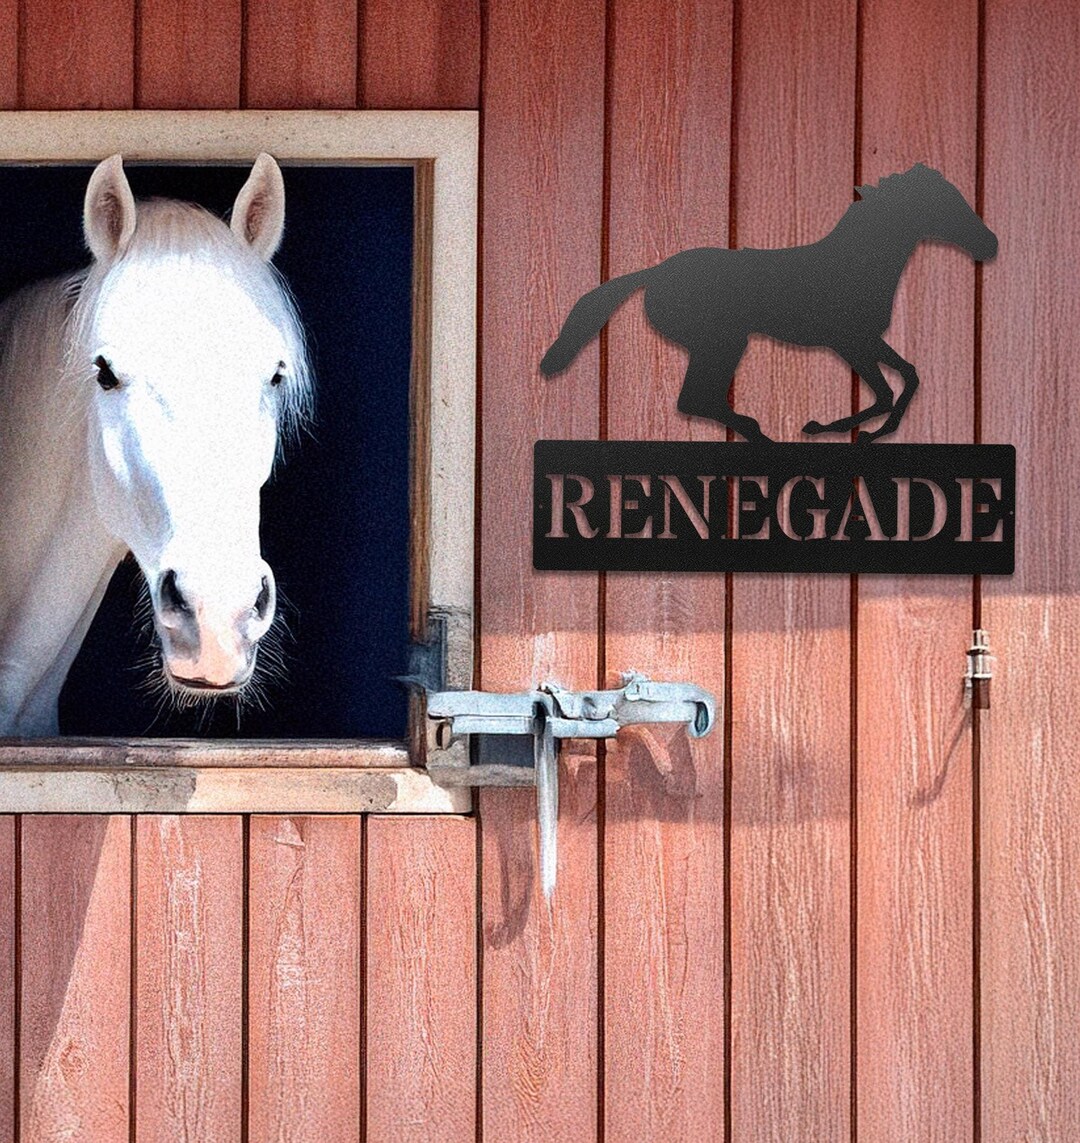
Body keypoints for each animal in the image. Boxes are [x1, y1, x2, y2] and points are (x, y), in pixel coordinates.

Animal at [541, 163, 997, 442]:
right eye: (942, 202)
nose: (990, 244)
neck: (857, 263)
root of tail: (653, 273)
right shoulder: (848, 341)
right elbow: (886, 391)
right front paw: (825, 427)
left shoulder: (863, 339)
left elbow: (908, 376)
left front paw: (867, 431)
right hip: (721, 342)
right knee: (693, 399)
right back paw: (760, 433)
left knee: (698, 399)